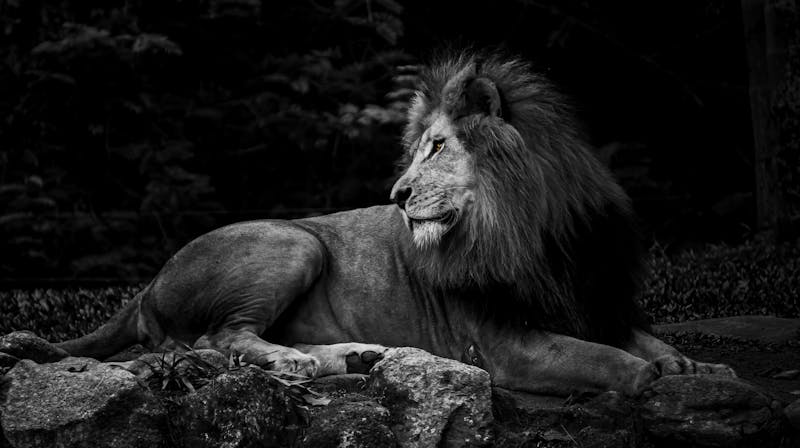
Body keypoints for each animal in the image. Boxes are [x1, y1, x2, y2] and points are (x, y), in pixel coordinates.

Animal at [55, 50, 733, 396]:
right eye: (417, 151)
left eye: (436, 148)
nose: (398, 194)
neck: (529, 229)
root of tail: (146, 283)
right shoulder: (506, 347)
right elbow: (608, 360)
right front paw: (653, 376)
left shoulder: (596, 300)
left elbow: (648, 343)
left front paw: (700, 369)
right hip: (293, 240)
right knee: (210, 341)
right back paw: (291, 364)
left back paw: (354, 357)